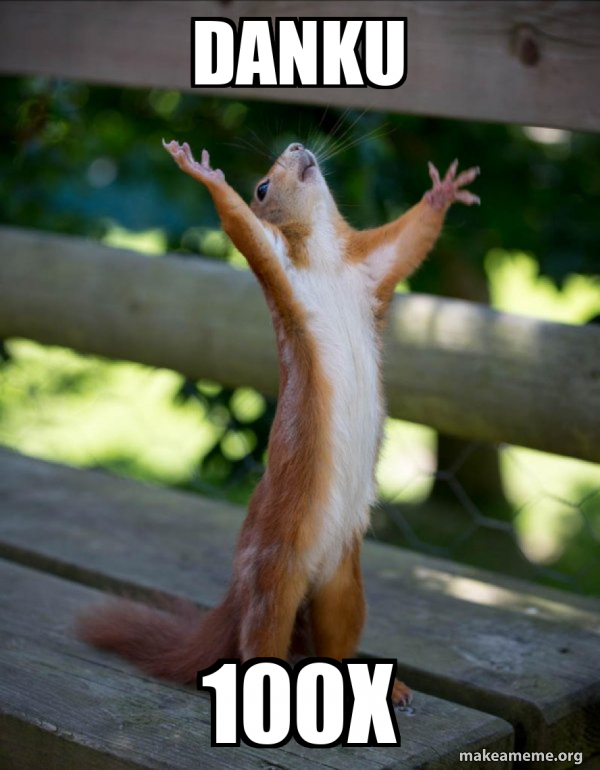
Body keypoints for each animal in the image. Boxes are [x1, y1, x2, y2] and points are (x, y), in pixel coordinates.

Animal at [77, 138, 479, 707]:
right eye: (262, 187)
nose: (296, 146)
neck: (327, 260)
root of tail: (239, 589)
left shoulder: (372, 267)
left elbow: (410, 239)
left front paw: (443, 191)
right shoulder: (277, 265)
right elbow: (240, 226)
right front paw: (203, 173)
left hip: (344, 586)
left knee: (335, 642)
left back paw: (385, 687)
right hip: (274, 576)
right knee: (262, 641)